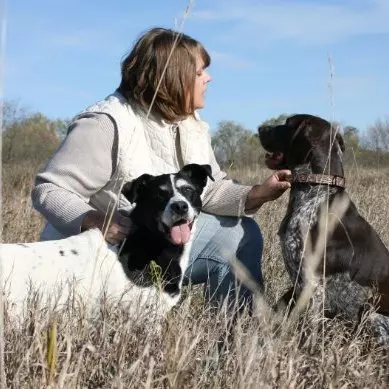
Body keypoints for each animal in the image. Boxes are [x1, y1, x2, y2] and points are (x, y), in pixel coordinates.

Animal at [258, 113, 388, 342]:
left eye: (288, 123)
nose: (260, 128)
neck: (316, 189)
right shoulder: (298, 283)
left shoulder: (313, 285)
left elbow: (309, 329)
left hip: (371, 312)